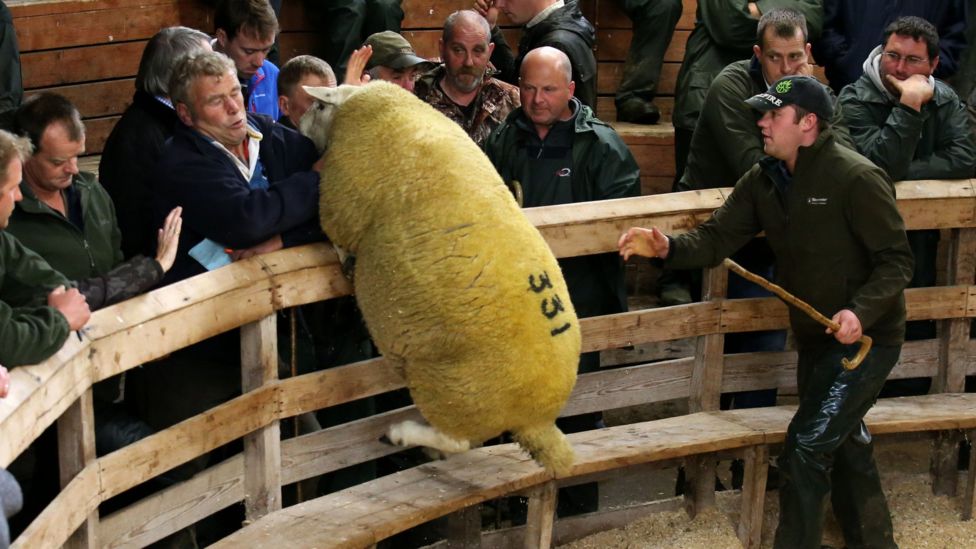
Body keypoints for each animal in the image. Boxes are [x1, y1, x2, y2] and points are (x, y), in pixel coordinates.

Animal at [299, 81, 581, 475]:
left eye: (318, 106)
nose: (296, 123)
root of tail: (537, 421)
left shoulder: (340, 204)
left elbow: (338, 235)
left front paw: (345, 260)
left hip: (452, 390)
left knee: (457, 441)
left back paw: (402, 435)